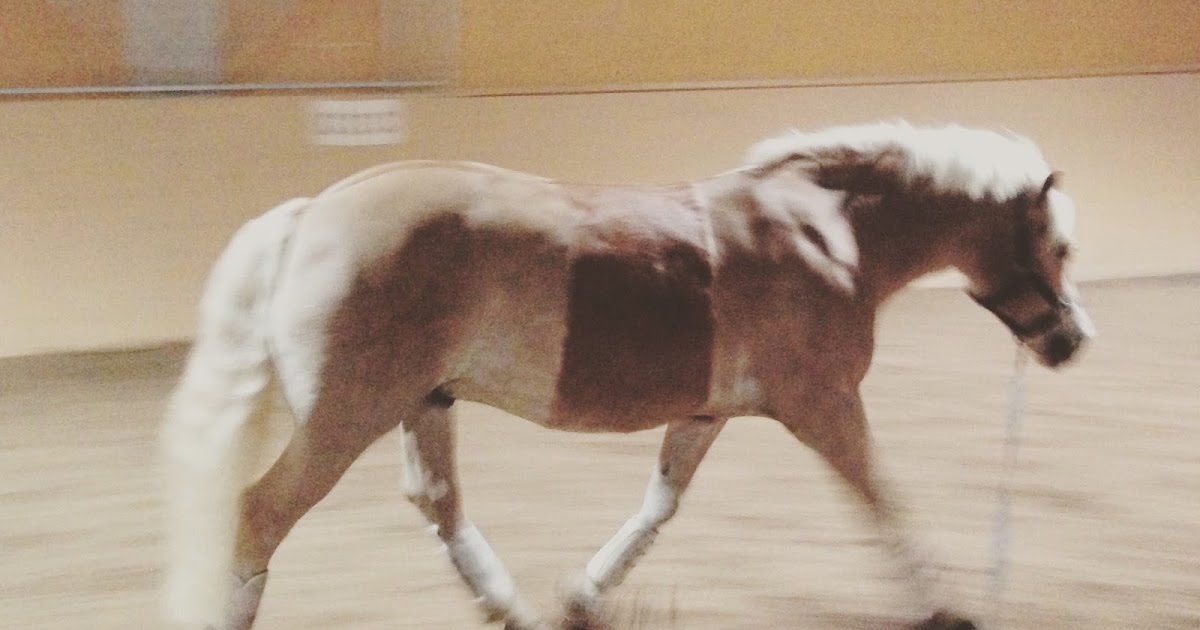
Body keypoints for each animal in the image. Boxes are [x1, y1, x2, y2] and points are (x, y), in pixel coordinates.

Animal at [160, 121, 1095, 630]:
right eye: (1058, 243)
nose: (1072, 343)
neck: (831, 236)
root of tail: (309, 214)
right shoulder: (826, 408)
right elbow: (884, 501)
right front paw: (947, 605)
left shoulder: (708, 413)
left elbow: (660, 507)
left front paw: (581, 595)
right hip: (346, 415)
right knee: (258, 516)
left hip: (423, 402)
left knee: (438, 505)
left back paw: (515, 608)